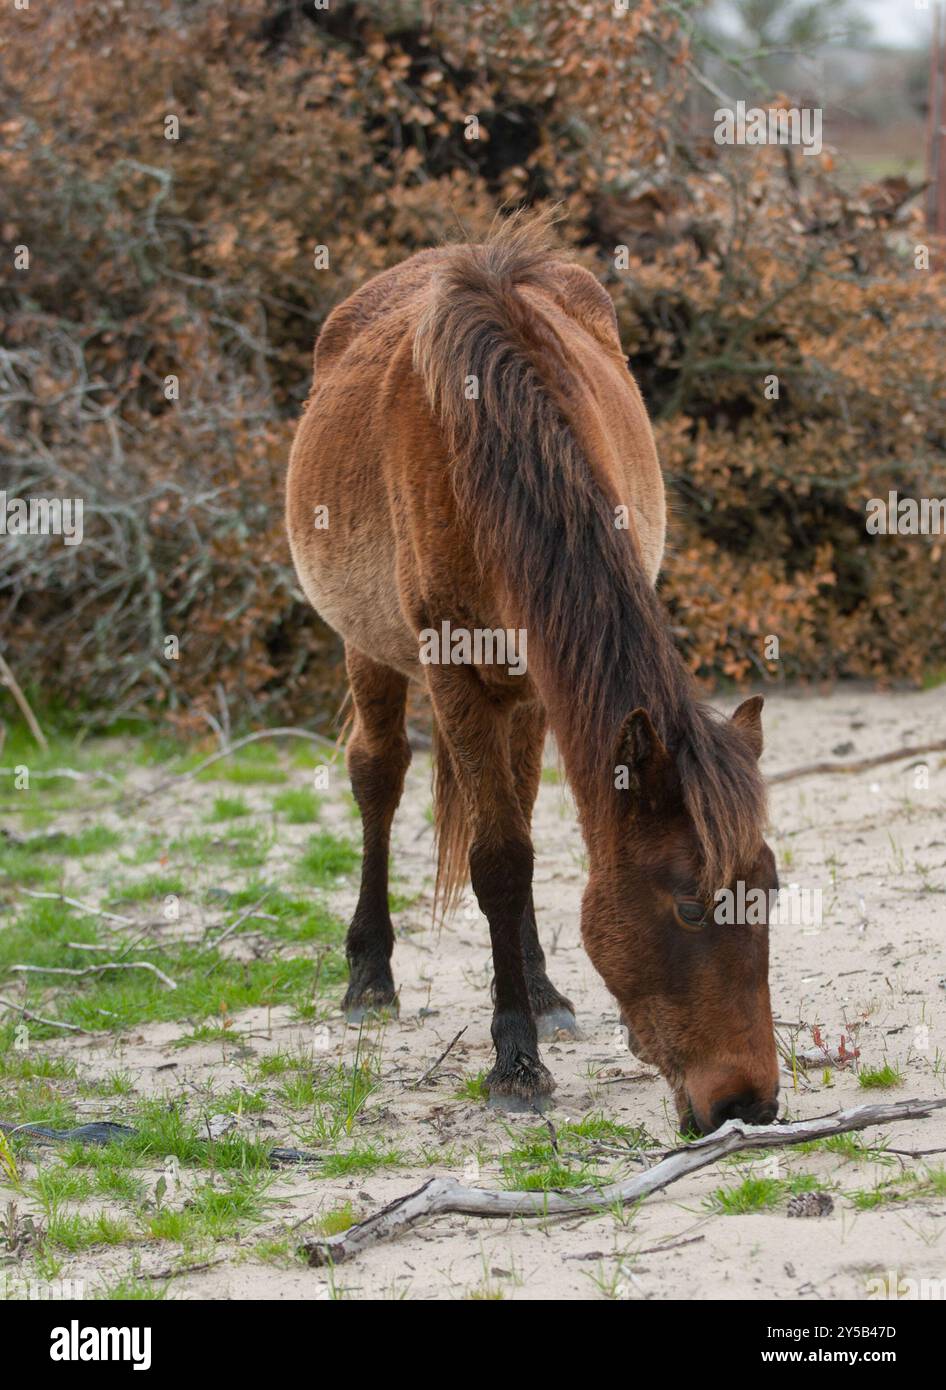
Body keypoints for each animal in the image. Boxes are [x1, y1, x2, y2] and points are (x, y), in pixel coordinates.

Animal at [285, 210, 780, 1134]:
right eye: (689, 904)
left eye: (767, 891)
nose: (750, 1103)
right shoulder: (452, 674)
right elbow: (499, 861)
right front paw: (515, 1061)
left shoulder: (545, 680)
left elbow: (518, 844)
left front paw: (532, 1011)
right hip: (369, 650)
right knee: (380, 775)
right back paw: (371, 975)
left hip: (522, 694)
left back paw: (545, 989)